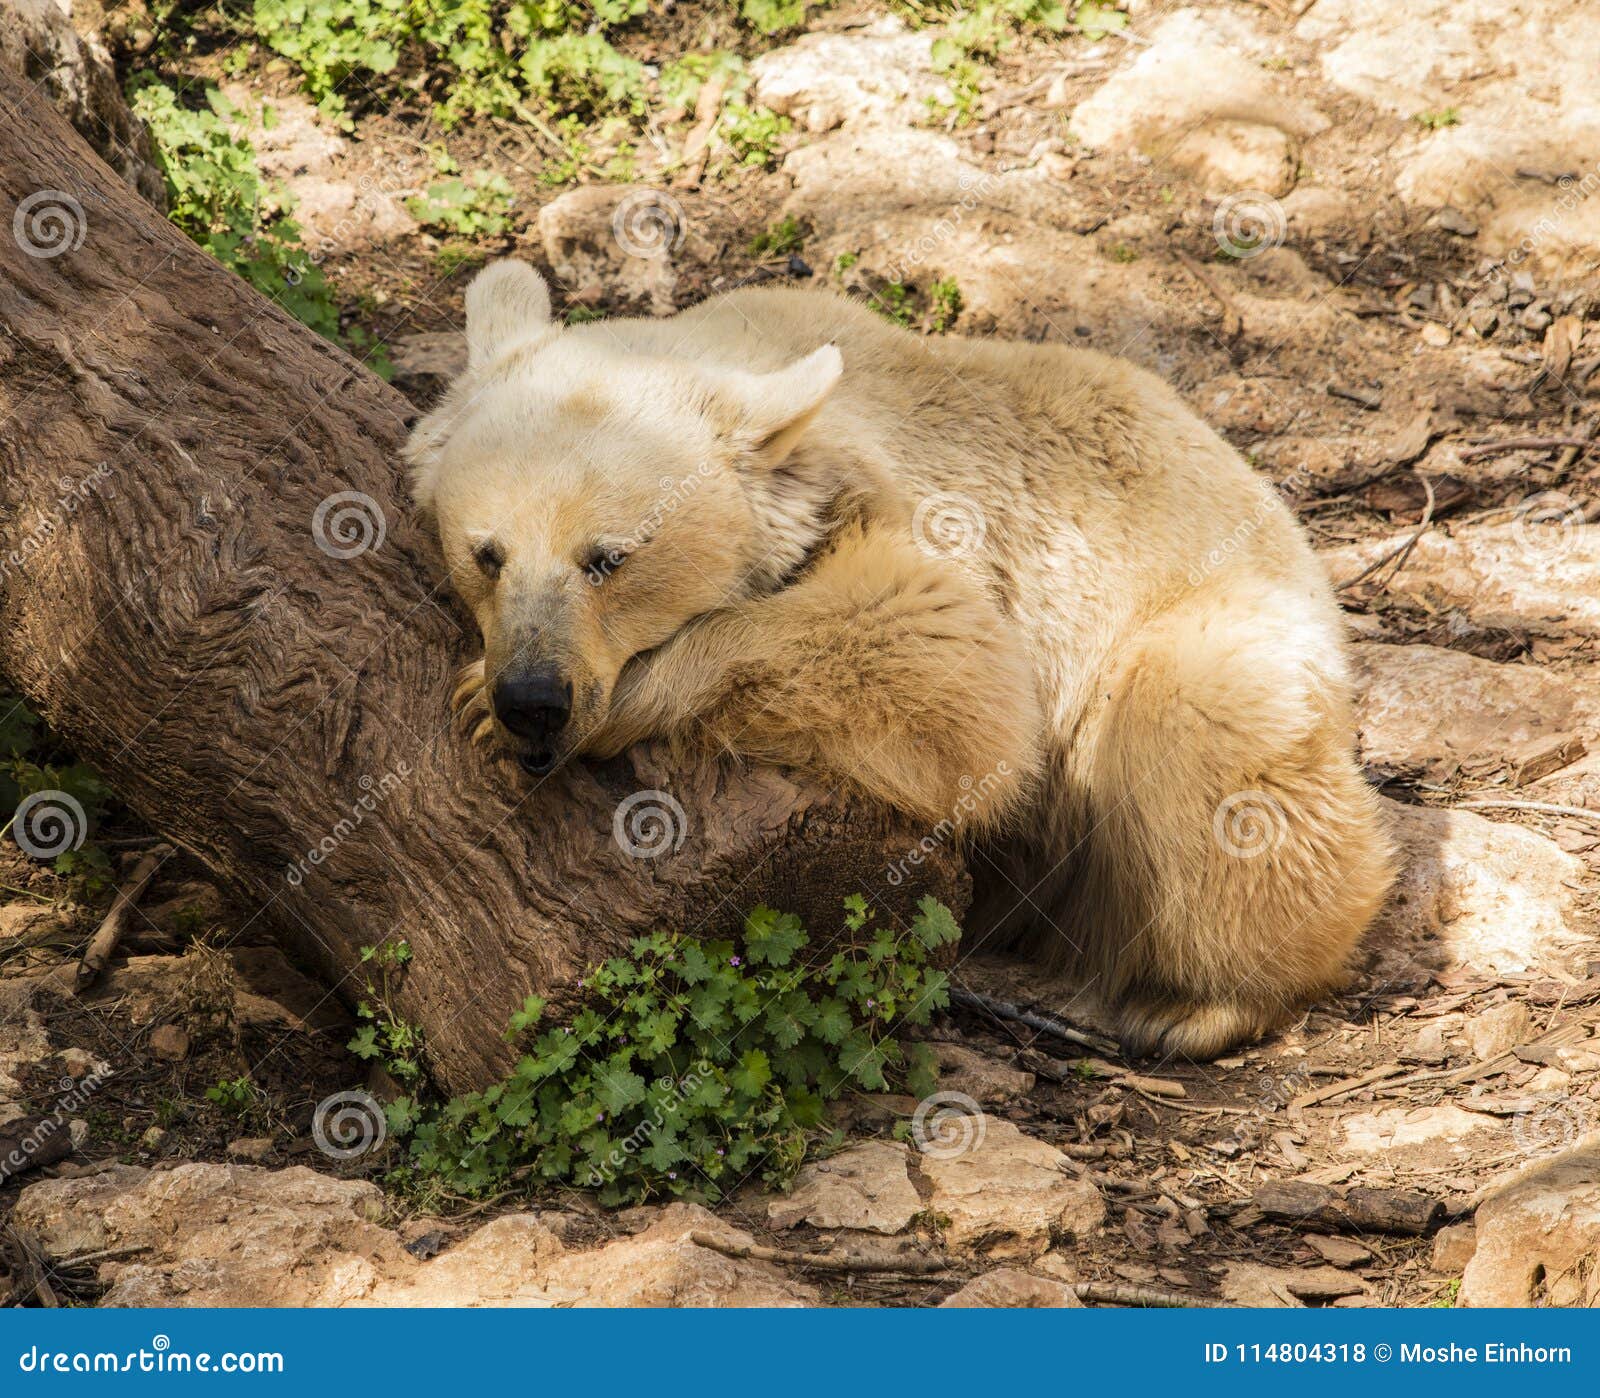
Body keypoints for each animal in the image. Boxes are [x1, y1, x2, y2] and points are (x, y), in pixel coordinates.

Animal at [405, 259, 1395, 1060]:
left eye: (607, 558)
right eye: (486, 553)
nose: (532, 697)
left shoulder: (917, 511)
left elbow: (945, 663)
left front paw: (546, 706)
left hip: (1208, 621)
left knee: (1198, 731)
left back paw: (1196, 1004)